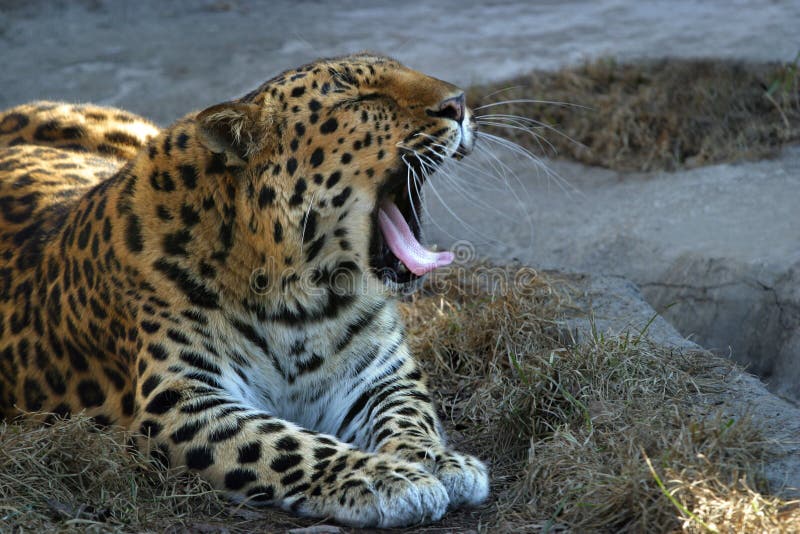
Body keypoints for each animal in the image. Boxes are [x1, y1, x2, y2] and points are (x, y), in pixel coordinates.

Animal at [0, 53, 488, 527]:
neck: (305, 295)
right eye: (359, 98)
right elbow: (285, 444)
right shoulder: (179, 401)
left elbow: (410, 414)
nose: (459, 103)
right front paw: (381, 478)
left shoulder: (377, 376)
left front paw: (439, 460)